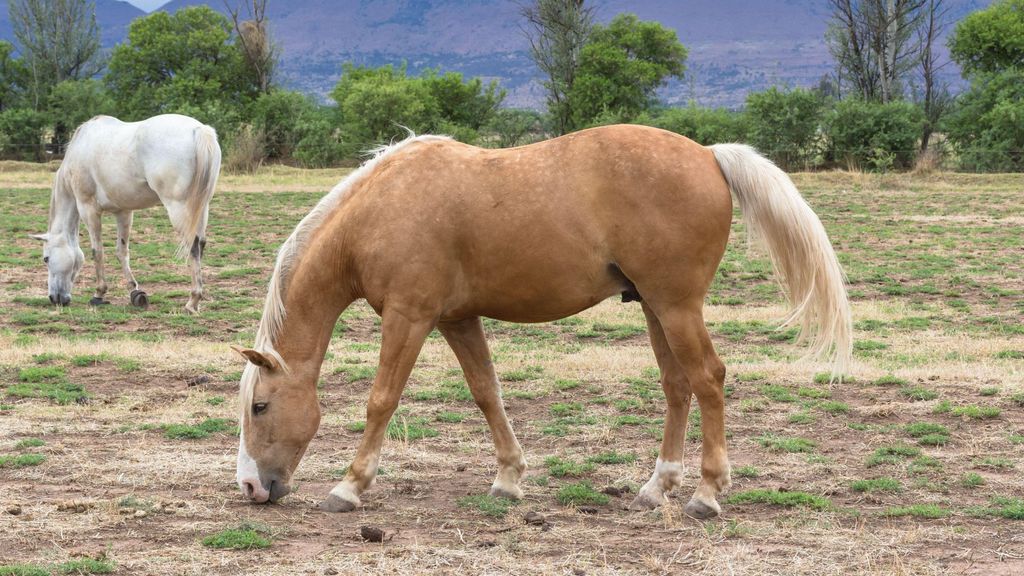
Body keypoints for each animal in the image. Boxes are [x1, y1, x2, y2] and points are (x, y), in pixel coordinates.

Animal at [31, 114, 221, 313]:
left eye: (46, 258)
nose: (55, 298)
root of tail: (199, 130)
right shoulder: (123, 212)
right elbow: (121, 252)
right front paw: (135, 292)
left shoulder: (88, 210)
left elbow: (97, 251)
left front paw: (99, 293)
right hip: (202, 208)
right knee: (200, 244)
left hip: (178, 208)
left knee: (193, 246)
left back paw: (192, 301)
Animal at [232, 124, 852, 519]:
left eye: (260, 406)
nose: (251, 487)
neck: (378, 213)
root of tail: (708, 154)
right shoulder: (458, 319)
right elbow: (486, 392)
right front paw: (509, 477)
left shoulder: (409, 318)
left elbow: (381, 400)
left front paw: (350, 486)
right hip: (655, 307)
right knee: (677, 386)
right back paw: (657, 486)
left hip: (676, 306)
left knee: (709, 379)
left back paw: (706, 494)